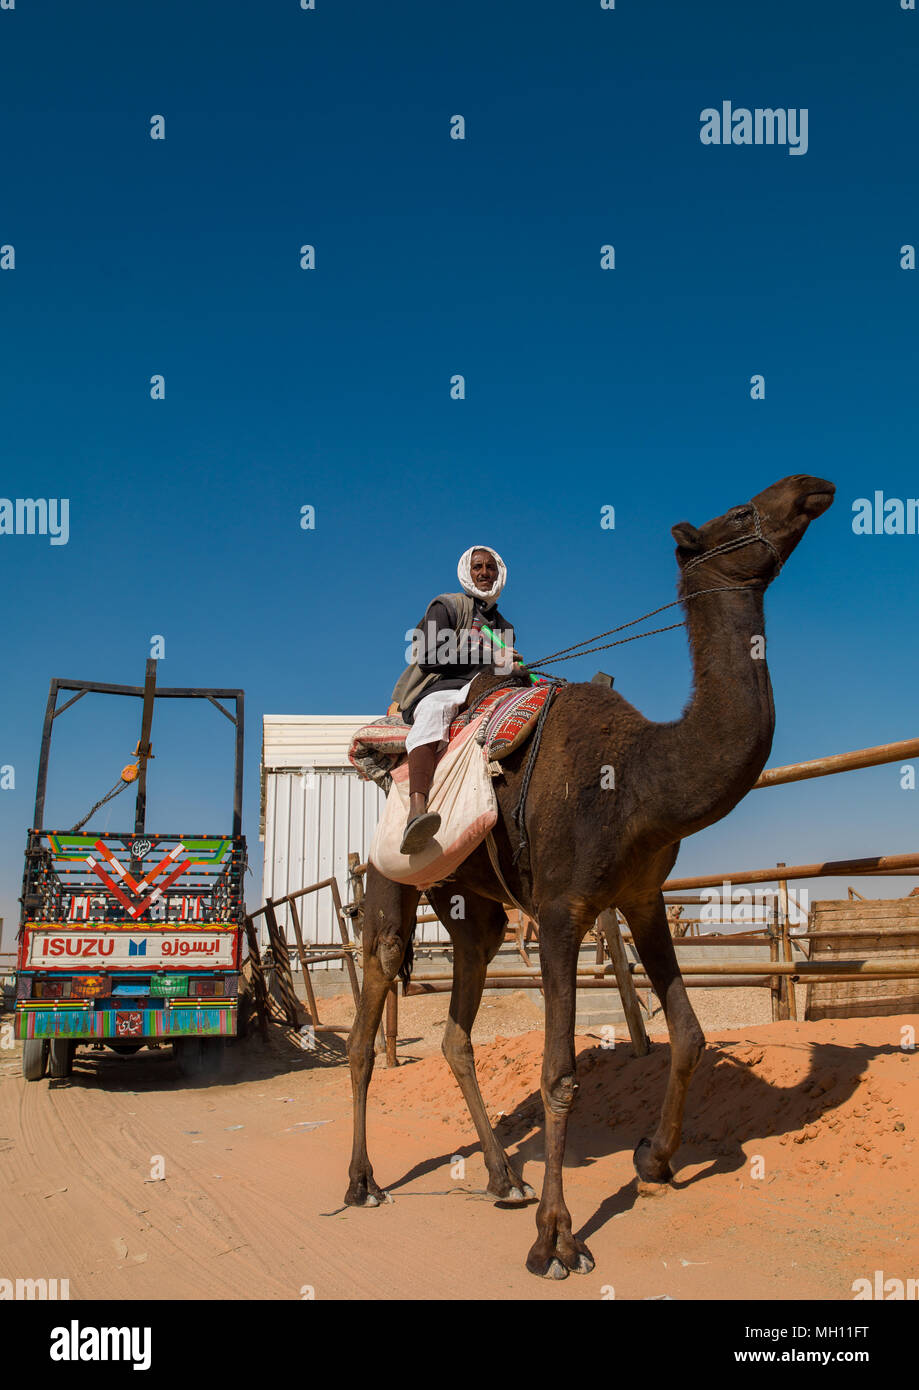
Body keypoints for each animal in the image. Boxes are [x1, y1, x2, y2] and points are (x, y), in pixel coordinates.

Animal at [345, 473, 835, 1278]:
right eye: (739, 510)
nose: (810, 487)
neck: (637, 780)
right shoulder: (561, 910)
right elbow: (558, 1074)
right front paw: (556, 1240)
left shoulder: (642, 897)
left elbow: (689, 1033)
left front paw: (653, 1160)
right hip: (390, 882)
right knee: (372, 1001)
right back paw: (363, 1182)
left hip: (472, 906)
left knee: (456, 1027)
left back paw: (502, 1178)